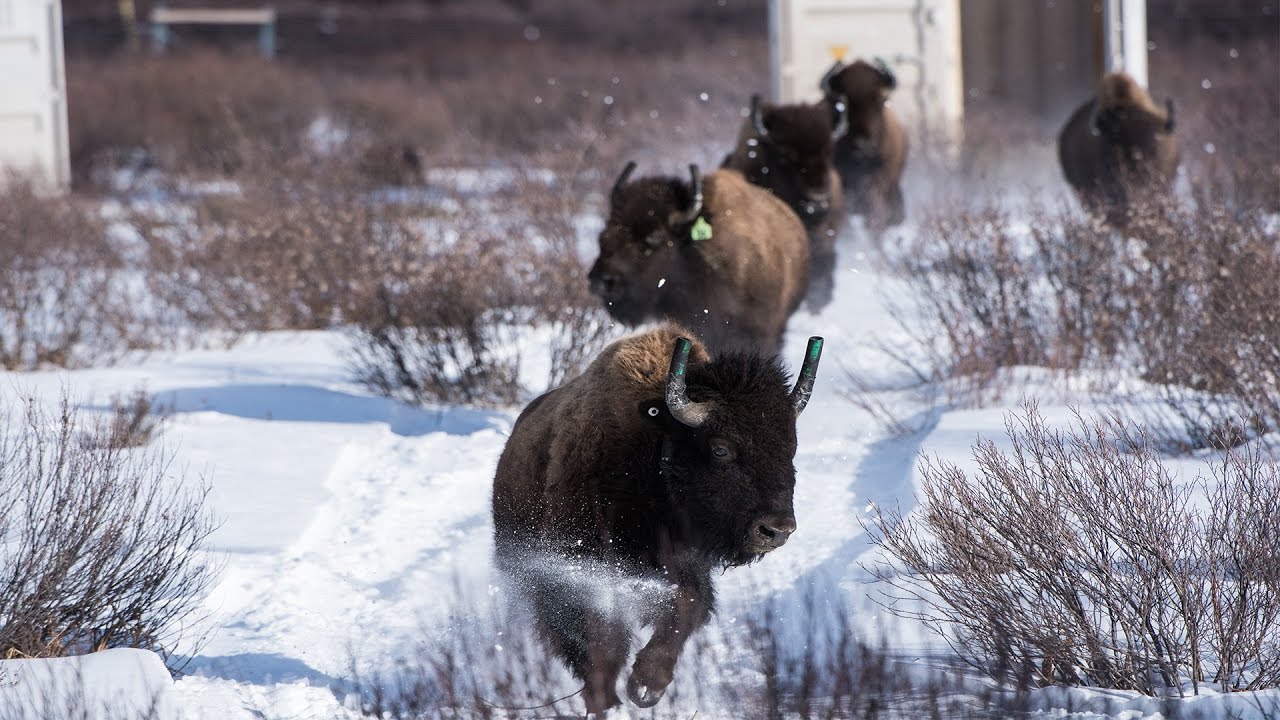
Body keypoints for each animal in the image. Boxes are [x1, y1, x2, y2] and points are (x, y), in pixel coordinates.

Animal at [492, 324, 824, 714]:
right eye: (720, 448)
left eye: (791, 447)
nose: (776, 529)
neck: (654, 450)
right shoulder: (579, 571)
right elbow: (601, 639)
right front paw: (615, 698)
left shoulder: (686, 569)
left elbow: (686, 608)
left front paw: (647, 685)